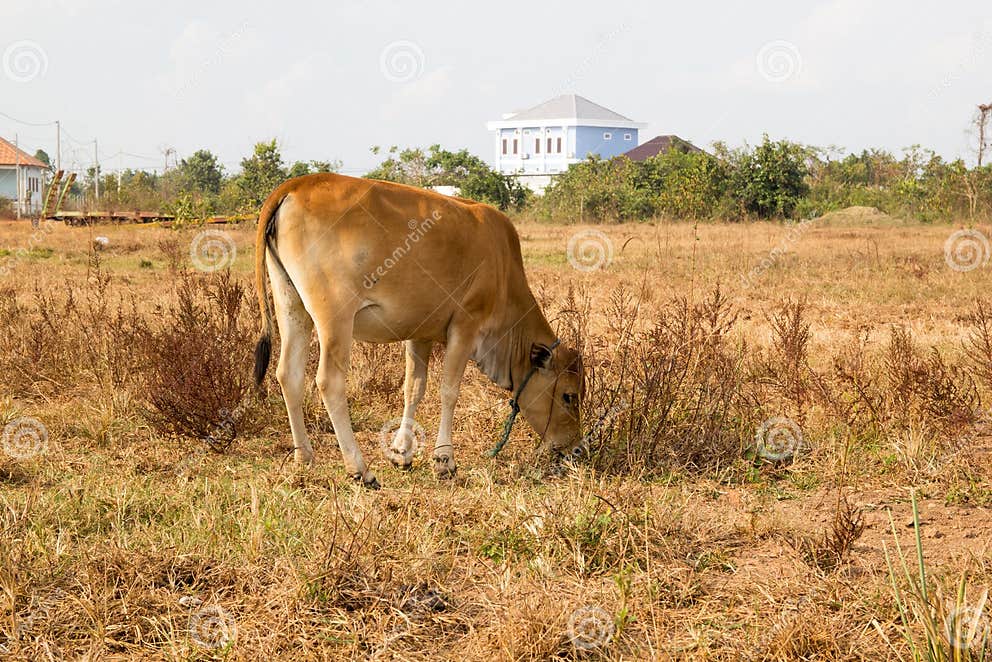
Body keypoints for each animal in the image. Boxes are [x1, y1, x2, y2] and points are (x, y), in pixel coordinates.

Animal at [253, 173, 583, 488]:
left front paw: (401, 451)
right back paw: (360, 470)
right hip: (335, 318)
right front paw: (444, 460)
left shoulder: (419, 332)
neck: (503, 268)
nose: (576, 448)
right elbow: (449, 390)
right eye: (569, 396)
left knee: (289, 375)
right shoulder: (465, 325)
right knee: (328, 382)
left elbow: (413, 388)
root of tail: (297, 184)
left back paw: (304, 457)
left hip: (291, 307)